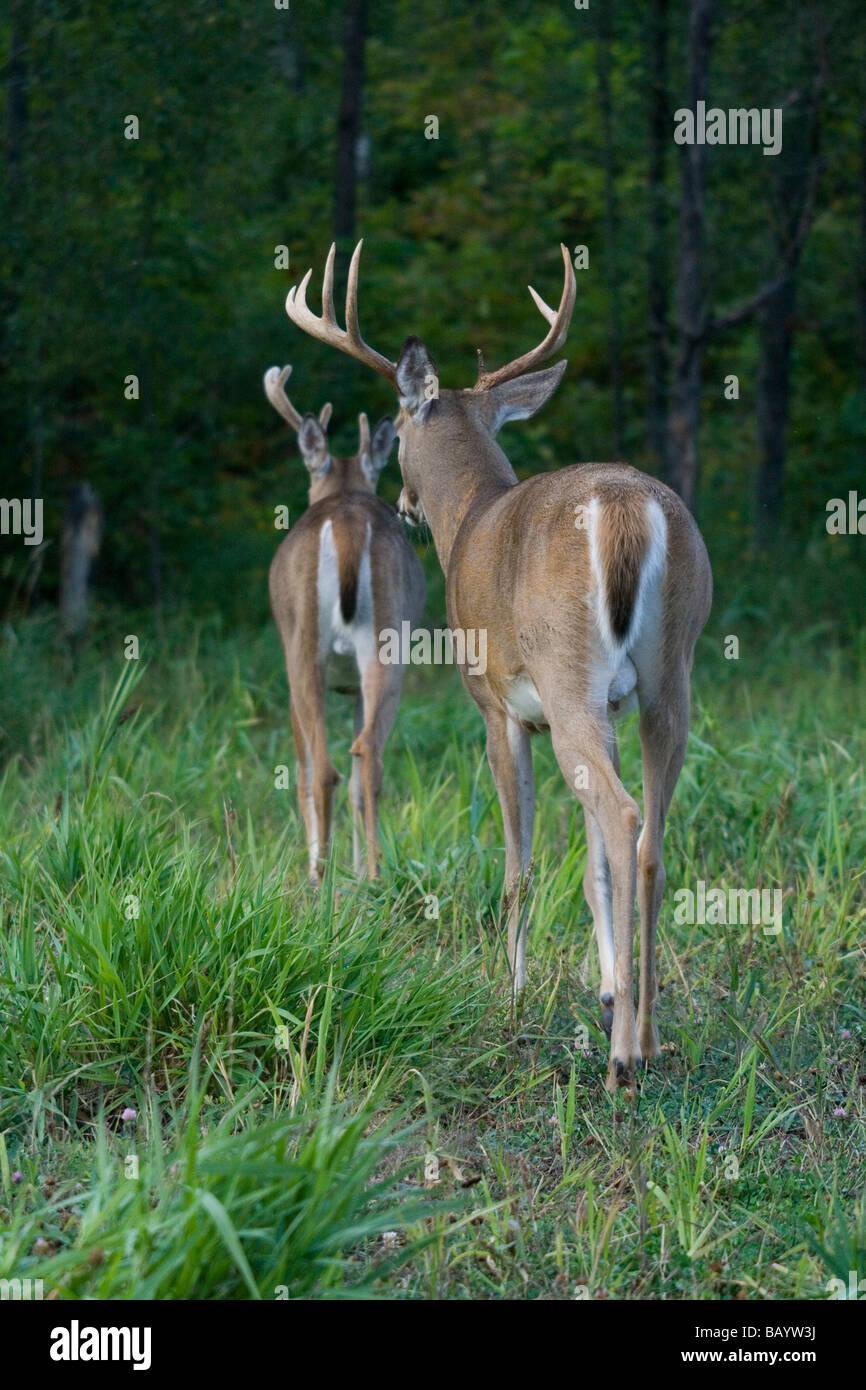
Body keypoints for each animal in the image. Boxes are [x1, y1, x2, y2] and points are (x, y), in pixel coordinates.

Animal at [264, 363, 425, 886]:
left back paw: (319, 878)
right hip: (387, 645)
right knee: (366, 756)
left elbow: (301, 772)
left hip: (303, 646)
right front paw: (354, 871)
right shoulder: (353, 685)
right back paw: (372, 875)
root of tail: (349, 523)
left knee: (322, 768)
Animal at [282, 242, 712, 1091]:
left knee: (622, 816)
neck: (472, 515)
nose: (405, 502)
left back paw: (622, 1059)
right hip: (667, 677)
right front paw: (604, 990)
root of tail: (627, 512)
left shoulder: (497, 705)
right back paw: (649, 1034)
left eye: (398, 432)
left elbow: (521, 864)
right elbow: (591, 866)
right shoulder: (603, 710)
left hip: (565, 668)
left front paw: (511, 997)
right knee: (648, 837)